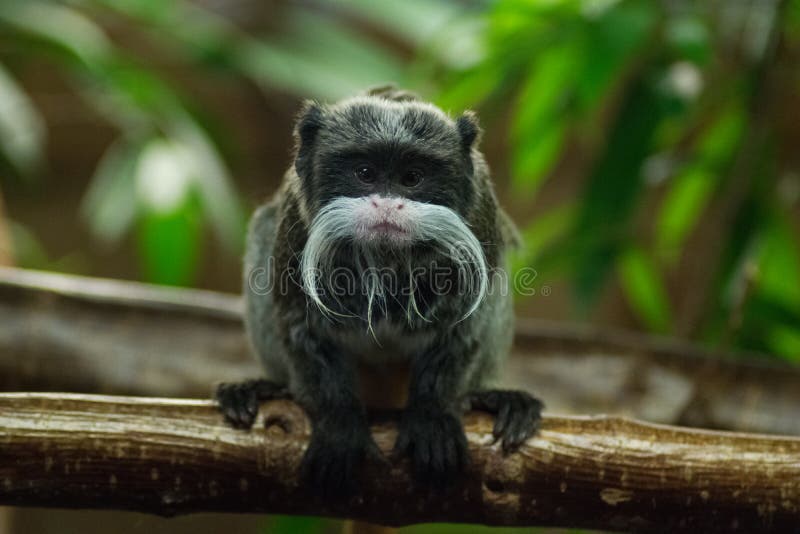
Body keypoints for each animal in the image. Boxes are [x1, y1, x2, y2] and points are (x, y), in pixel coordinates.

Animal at [216, 85, 543, 495]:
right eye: (365, 174)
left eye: (413, 178)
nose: (387, 204)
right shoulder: (295, 224)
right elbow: (300, 328)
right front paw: (340, 426)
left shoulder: (481, 216)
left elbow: (462, 332)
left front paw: (432, 417)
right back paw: (264, 389)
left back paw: (494, 399)